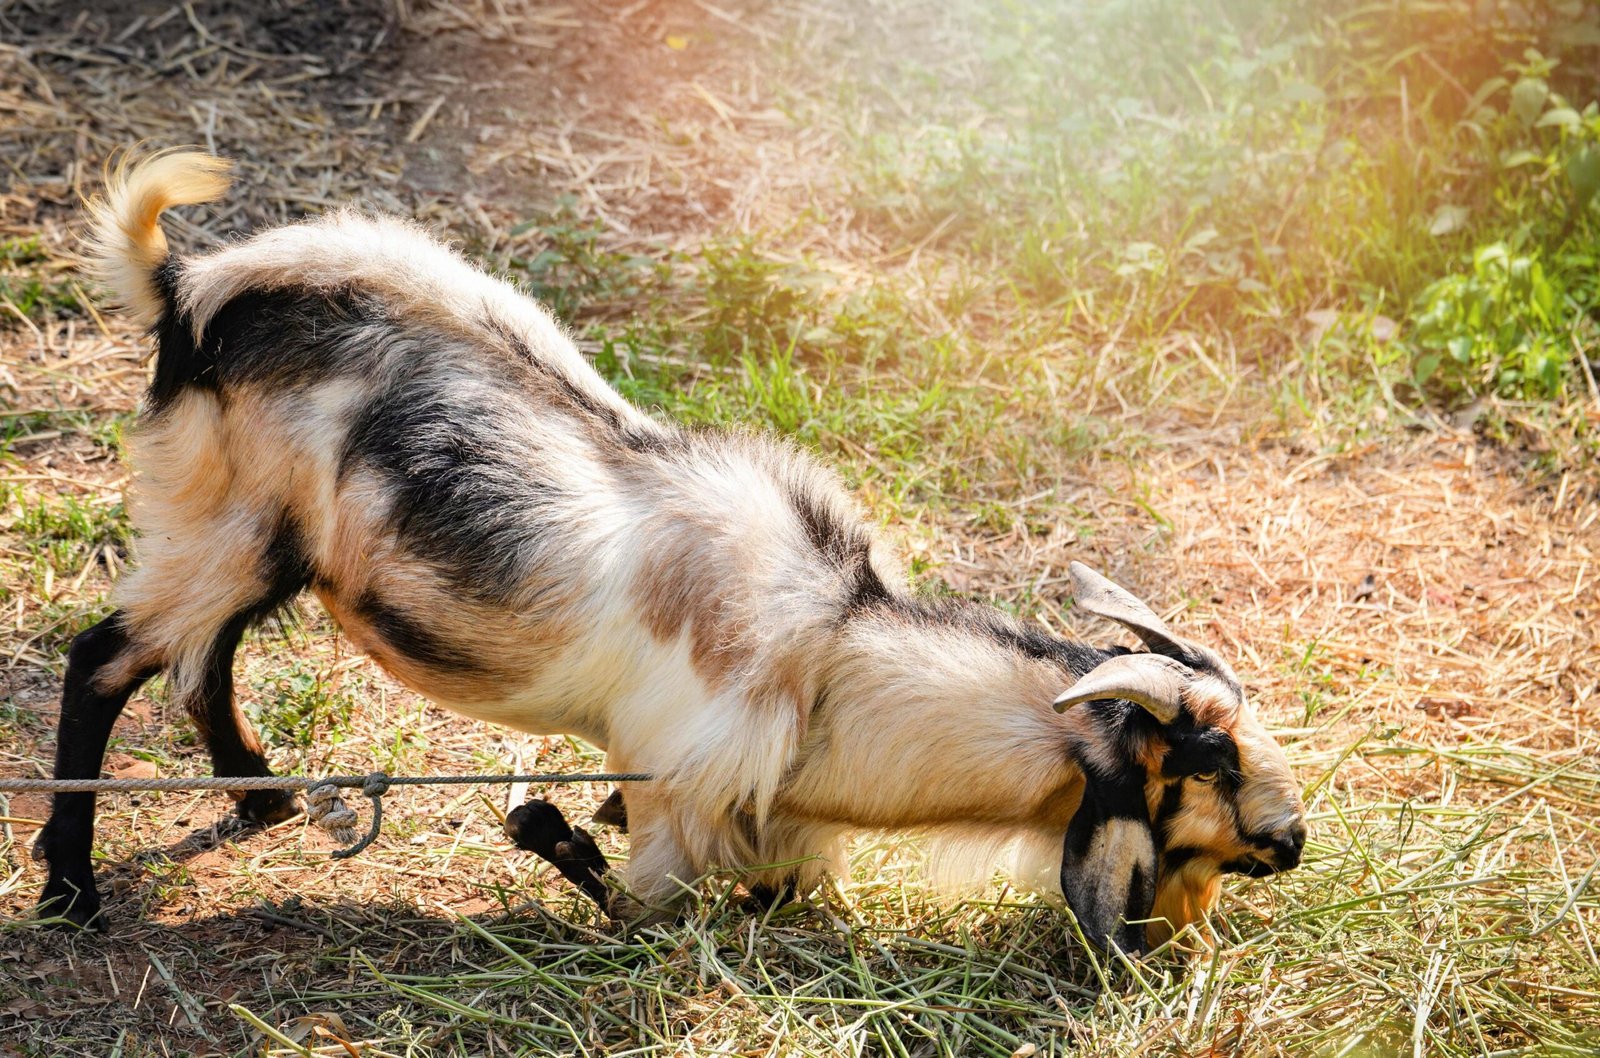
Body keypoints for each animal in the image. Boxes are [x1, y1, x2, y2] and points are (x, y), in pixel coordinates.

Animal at [33, 151, 1306, 951]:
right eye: (1208, 758)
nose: (1293, 840)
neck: (826, 659)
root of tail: (186, 285)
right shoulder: (669, 795)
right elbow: (619, 890)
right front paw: (539, 818)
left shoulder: (779, 831)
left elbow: (764, 894)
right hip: (223, 523)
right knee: (107, 656)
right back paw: (70, 890)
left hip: (259, 542)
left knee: (201, 661)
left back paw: (262, 799)